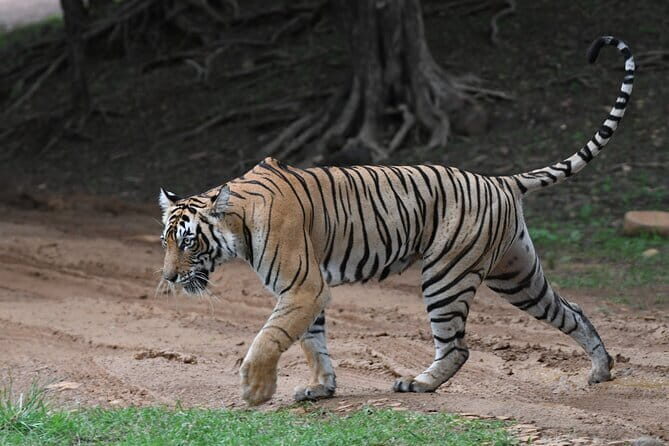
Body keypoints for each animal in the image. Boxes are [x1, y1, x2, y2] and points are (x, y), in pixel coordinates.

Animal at [158, 36, 634, 406]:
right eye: (166, 241)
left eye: (188, 242)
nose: (168, 278)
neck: (238, 225)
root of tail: (498, 179)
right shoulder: (307, 291)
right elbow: (313, 342)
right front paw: (321, 388)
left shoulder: (302, 286)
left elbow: (270, 336)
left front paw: (255, 391)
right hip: (516, 274)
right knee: (572, 311)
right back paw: (600, 369)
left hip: (446, 275)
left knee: (458, 347)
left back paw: (419, 383)